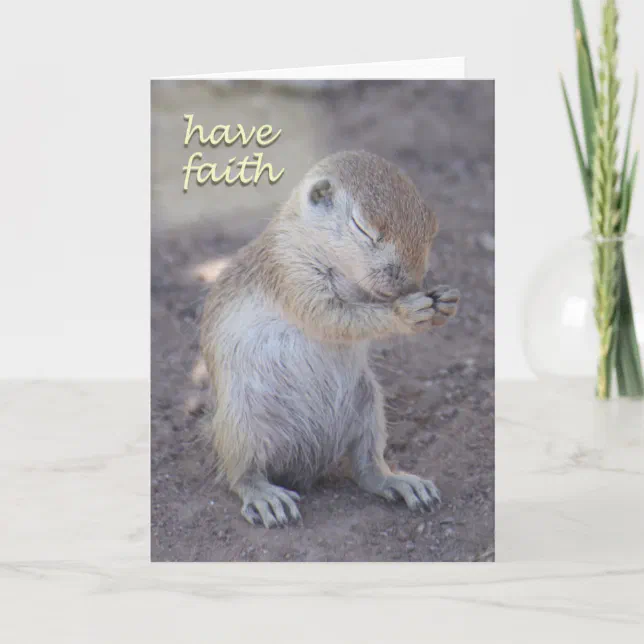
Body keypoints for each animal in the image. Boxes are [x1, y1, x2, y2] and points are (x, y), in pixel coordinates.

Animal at [200, 150, 460, 528]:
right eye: (363, 227)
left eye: (433, 226)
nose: (410, 285)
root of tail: (305, 464)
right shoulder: (291, 274)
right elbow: (331, 316)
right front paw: (405, 313)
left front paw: (445, 301)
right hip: (240, 424)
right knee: (241, 474)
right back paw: (266, 497)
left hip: (369, 406)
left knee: (367, 468)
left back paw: (399, 482)